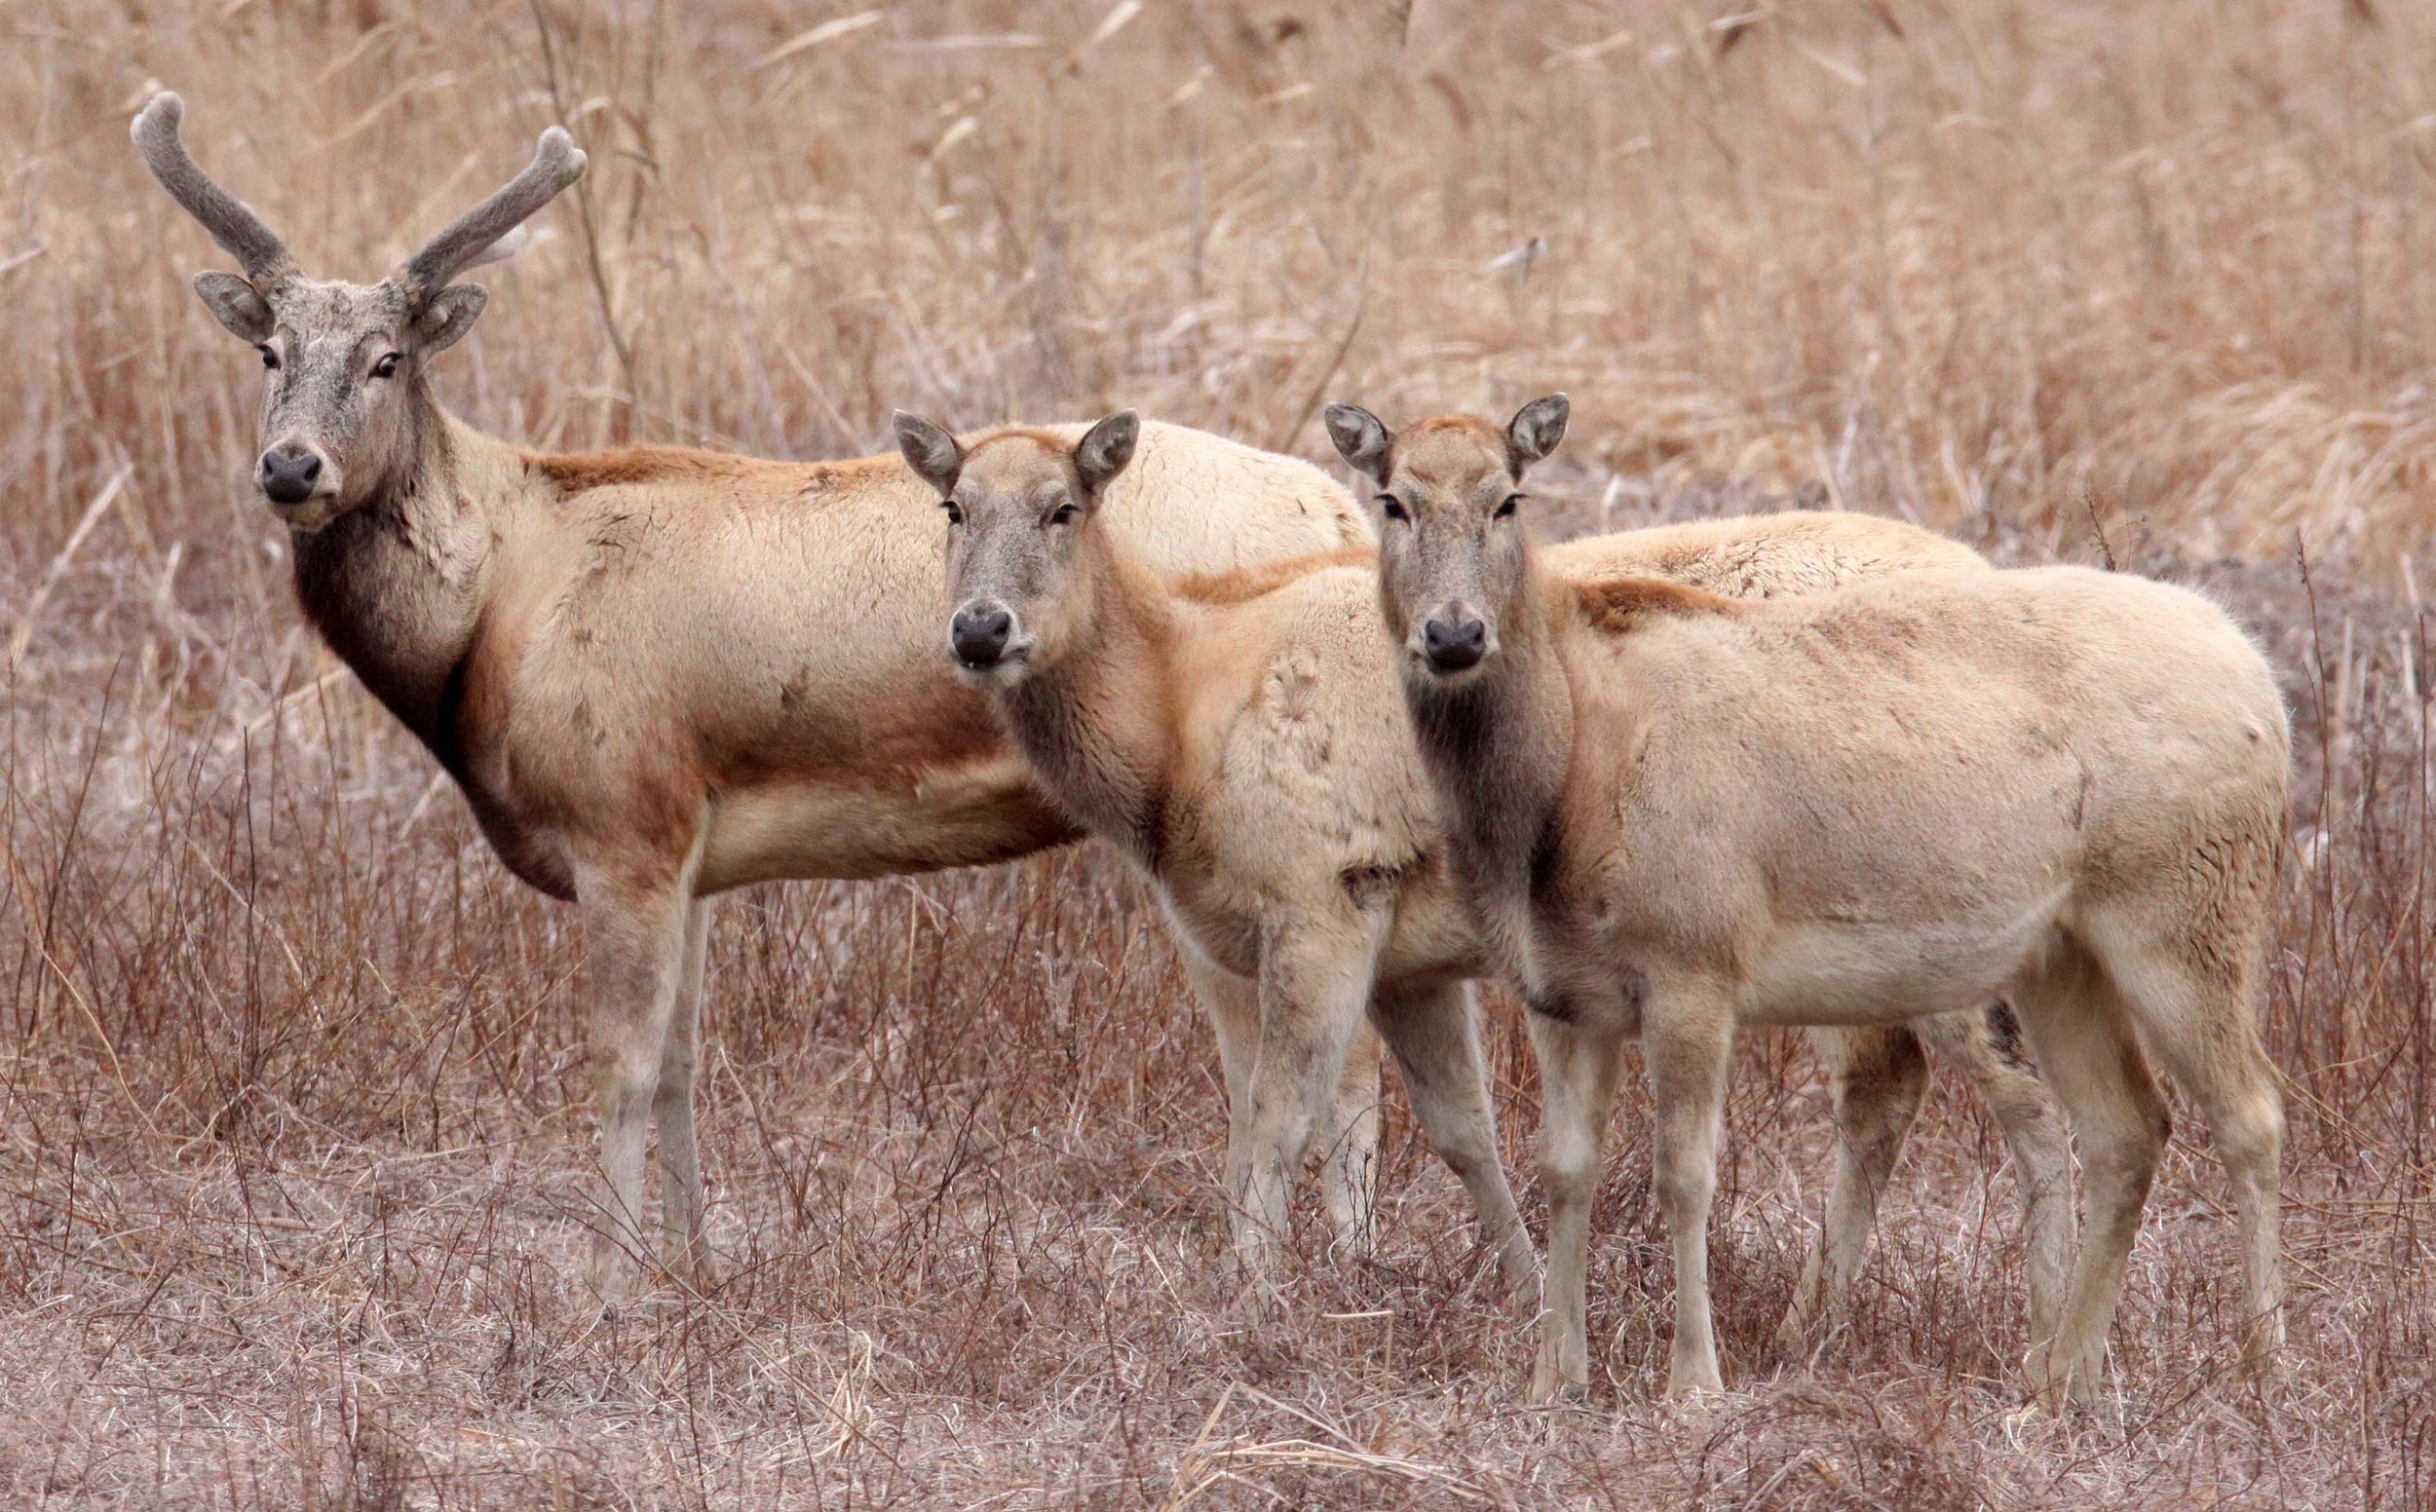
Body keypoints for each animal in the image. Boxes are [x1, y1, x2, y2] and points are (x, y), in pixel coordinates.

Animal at [131, 92, 1390, 1303]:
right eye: (270, 353)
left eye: (388, 357)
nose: (291, 467)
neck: (499, 603)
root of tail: (1338, 510)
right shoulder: (687, 842)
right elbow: (685, 1065)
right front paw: (692, 1268)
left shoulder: (621, 810)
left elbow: (623, 1066)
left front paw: (608, 1292)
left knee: (1332, 1053)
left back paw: (1338, 1267)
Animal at [896, 410, 2073, 1354]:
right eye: (952, 507)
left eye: (1062, 508)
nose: (980, 629)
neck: (1178, 720)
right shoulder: (1403, 959)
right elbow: (1462, 1131)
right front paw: (1524, 1294)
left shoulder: (1324, 891)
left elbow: (1280, 1115)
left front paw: (1246, 1308)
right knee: (1892, 1084)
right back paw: (1810, 1327)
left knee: (2017, 1097)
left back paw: (2039, 1342)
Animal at [1336, 394, 2290, 1412]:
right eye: (1393, 500)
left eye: (1509, 499)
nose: (1455, 635)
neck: (1561, 793)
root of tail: (2265, 687)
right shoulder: (1557, 993)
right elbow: (1562, 1170)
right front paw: (1555, 1377)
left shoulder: (1695, 963)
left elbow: (1686, 1174)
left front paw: (1695, 1383)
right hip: (2059, 955)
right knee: (2125, 1129)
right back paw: (2061, 1380)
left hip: (2189, 910)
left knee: (2250, 1112)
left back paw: (2265, 1365)